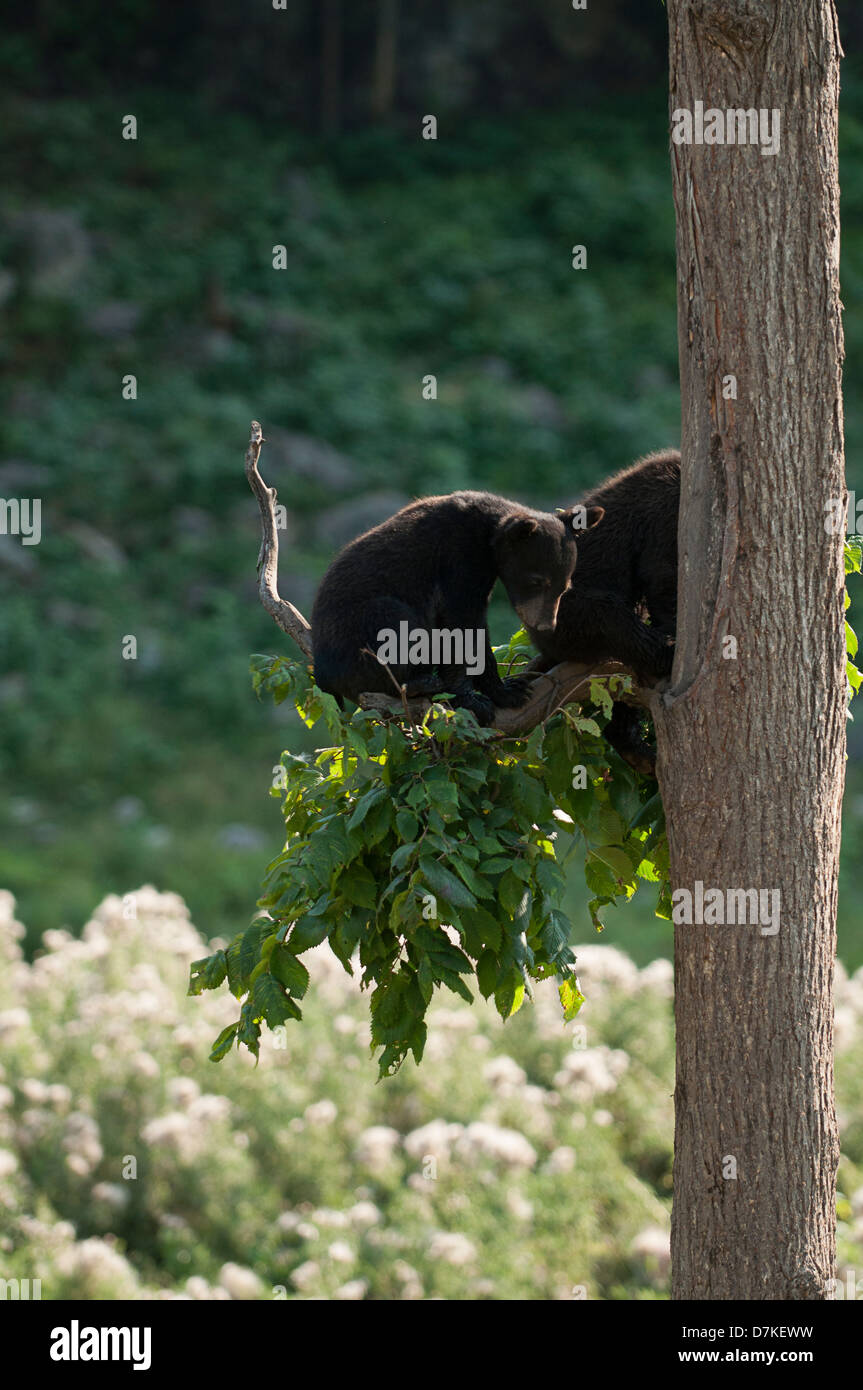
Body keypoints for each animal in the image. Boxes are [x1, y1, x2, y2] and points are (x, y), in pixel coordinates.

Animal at [311, 489, 603, 725]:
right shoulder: (458, 560)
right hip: (357, 629)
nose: (545, 625)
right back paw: (420, 683)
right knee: (395, 624)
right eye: (537, 580)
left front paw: (509, 687)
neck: (488, 540)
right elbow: (459, 624)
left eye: (564, 586)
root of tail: (322, 675)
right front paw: (477, 699)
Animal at [526, 449, 680, 772]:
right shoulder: (666, 510)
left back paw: (635, 747)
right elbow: (662, 573)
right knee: (613, 620)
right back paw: (664, 654)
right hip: (568, 614)